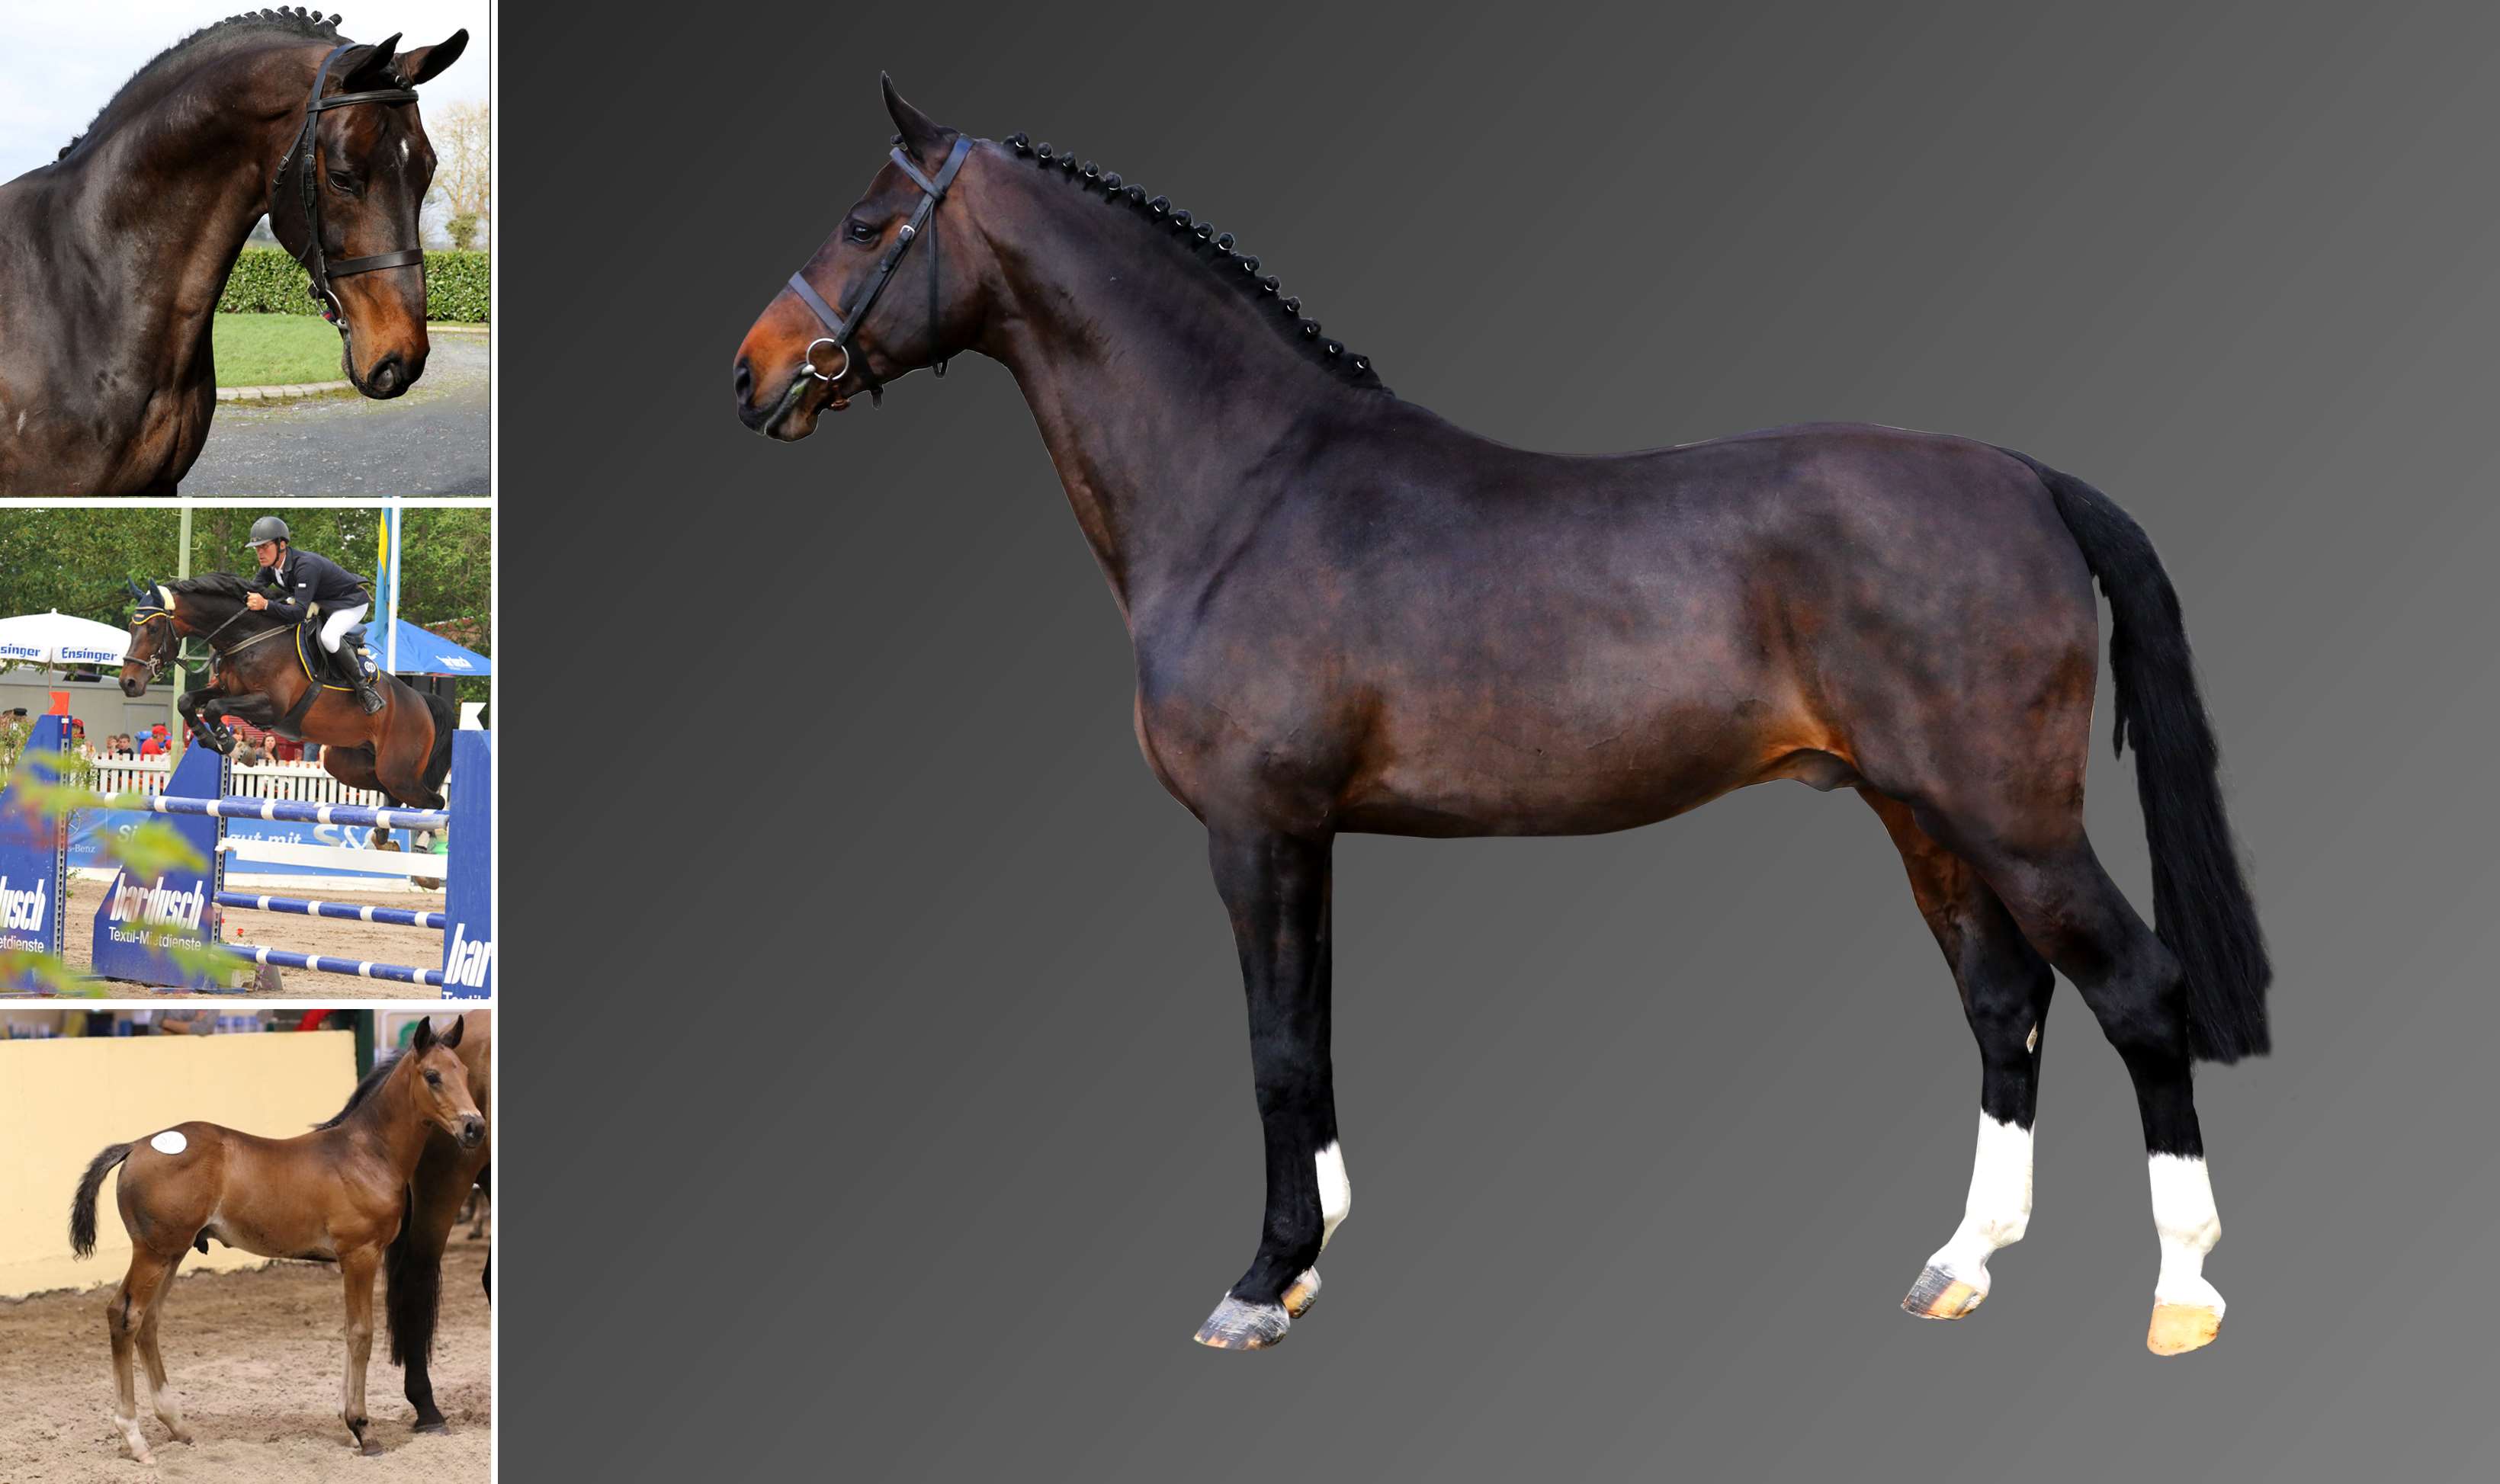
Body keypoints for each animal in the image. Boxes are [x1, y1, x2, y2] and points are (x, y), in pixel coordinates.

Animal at [68, 1014, 485, 1462]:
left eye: (464, 1072)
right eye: (433, 1076)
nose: (475, 1127)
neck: (367, 1154)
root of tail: (135, 1147)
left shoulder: (351, 1261)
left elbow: (349, 1331)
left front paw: (349, 1425)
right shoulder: (360, 1254)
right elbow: (361, 1333)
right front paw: (362, 1429)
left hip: (173, 1253)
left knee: (149, 1321)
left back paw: (178, 1426)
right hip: (154, 1253)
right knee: (124, 1316)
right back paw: (136, 1439)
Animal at [119, 573, 457, 810]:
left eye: (152, 629)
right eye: (132, 628)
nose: (128, 683)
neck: (248, 636)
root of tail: (421, 700)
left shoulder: (272, 707)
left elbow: (215, 708)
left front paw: (236, 748)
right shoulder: (224, 689)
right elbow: (187, 700)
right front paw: (210, 740)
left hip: (399, 768)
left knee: (433, 802)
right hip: (349, 763)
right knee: (391, 792)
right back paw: (383, 836)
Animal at [732, 82, 2274, 1358]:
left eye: (865, 223)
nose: (750, 372)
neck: (1246, 489)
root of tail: (2025, 475)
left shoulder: (1253, 828)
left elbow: (1273, 1047)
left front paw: (1258, 1284)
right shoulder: (1308, 837)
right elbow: (1311, 1031)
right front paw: (1307, 1256)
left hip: (2008, 817)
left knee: (2136, 993)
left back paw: (2180, 1293)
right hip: (1920, 814)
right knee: (2002, 1005)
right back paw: (1959, 1263)